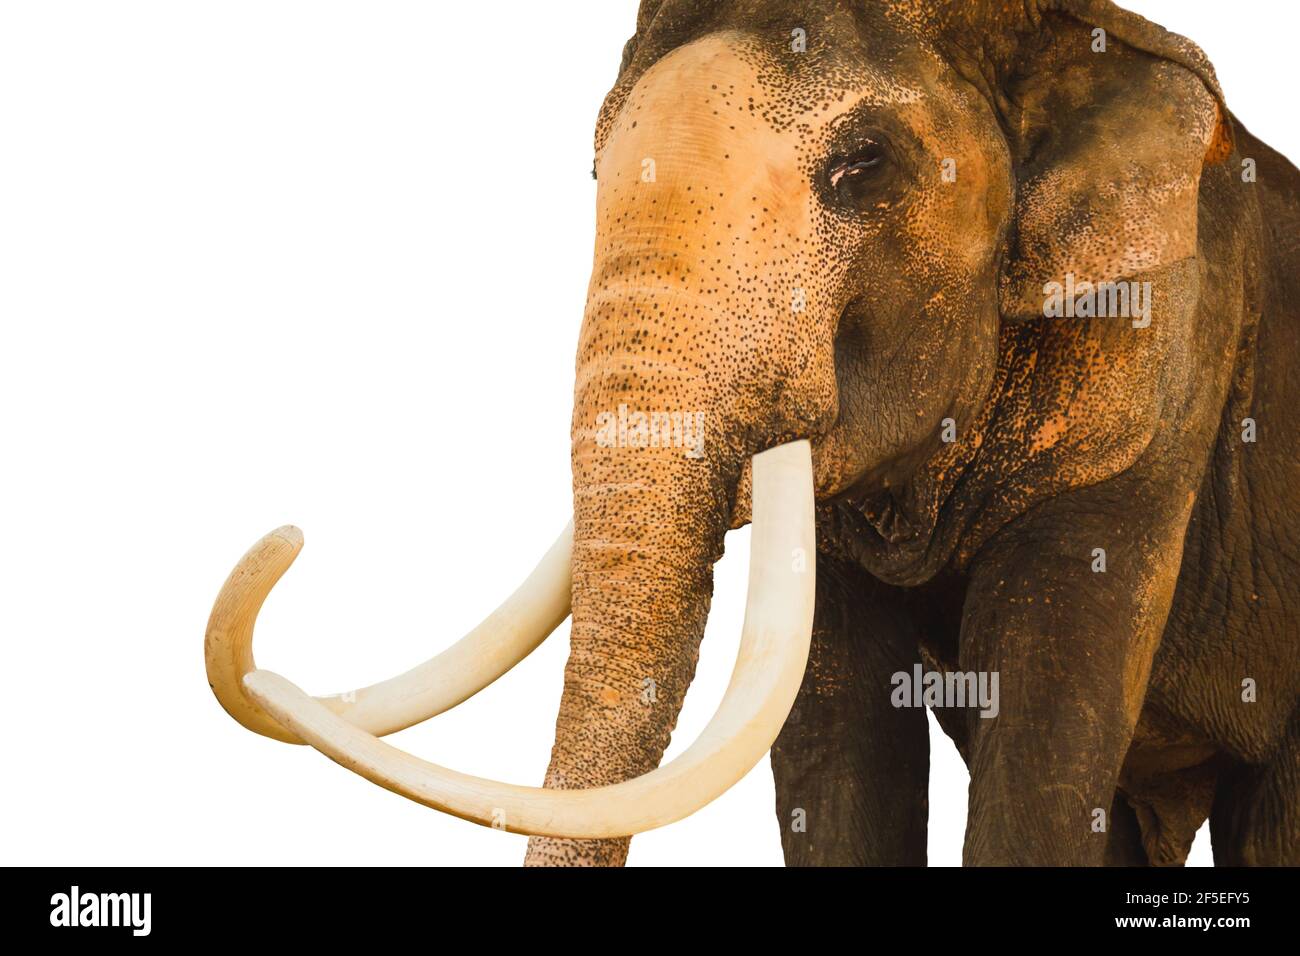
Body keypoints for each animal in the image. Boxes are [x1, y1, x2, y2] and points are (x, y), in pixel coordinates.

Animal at [205, 0, 1300, 867]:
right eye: (592, 167)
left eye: (863, 167)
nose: (288, 538)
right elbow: (837, 734)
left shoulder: (1161, 364)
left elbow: (1043, 722)